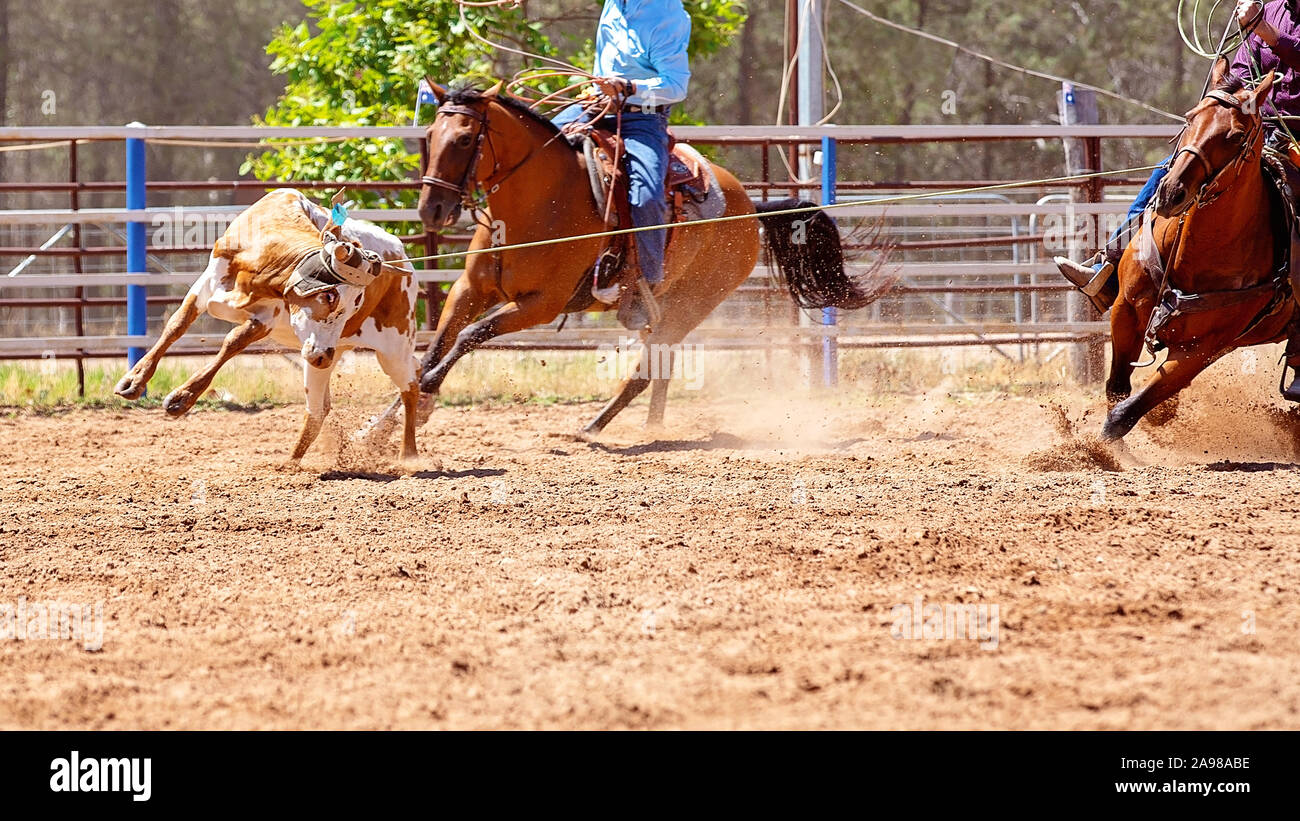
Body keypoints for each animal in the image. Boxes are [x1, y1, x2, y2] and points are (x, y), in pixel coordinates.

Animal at [113, 188, 424, 462]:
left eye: (356, 303)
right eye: (330, 295)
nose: (323, 355)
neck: (265, 259)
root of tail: (402, 257)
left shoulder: (265, 318)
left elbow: (231, 343)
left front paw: (182, 398)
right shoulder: (207, 283)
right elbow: (176, 325)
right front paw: (133, 381)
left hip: (392, 347)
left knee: (410, 385)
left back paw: (408, 456)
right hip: (330, 354)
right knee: (318, 410)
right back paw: (290, 464)